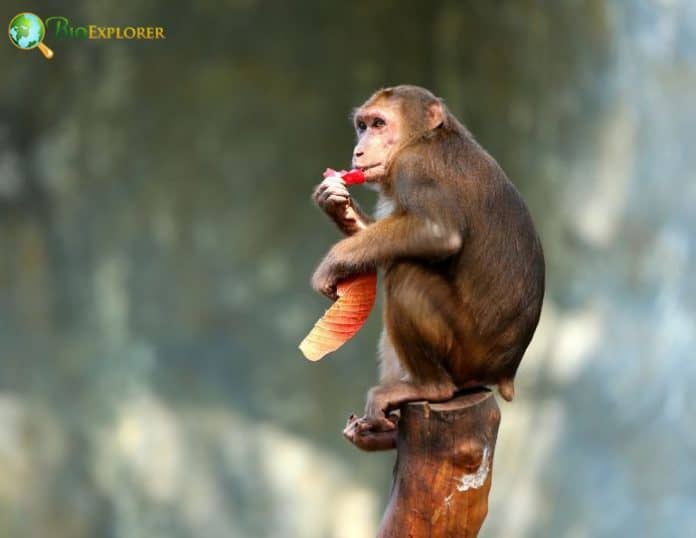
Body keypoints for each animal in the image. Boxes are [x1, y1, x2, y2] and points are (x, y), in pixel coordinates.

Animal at [311, 85, 545, 451]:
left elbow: (437, 232)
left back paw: (432, 388)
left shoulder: (414, 167)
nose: (359, 150)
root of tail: (507, 370)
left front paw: (332, 262)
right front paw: (337, 205)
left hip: (468, 356)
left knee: (406, 273)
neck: (424, 138)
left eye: (379, 124)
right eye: (362, 125)